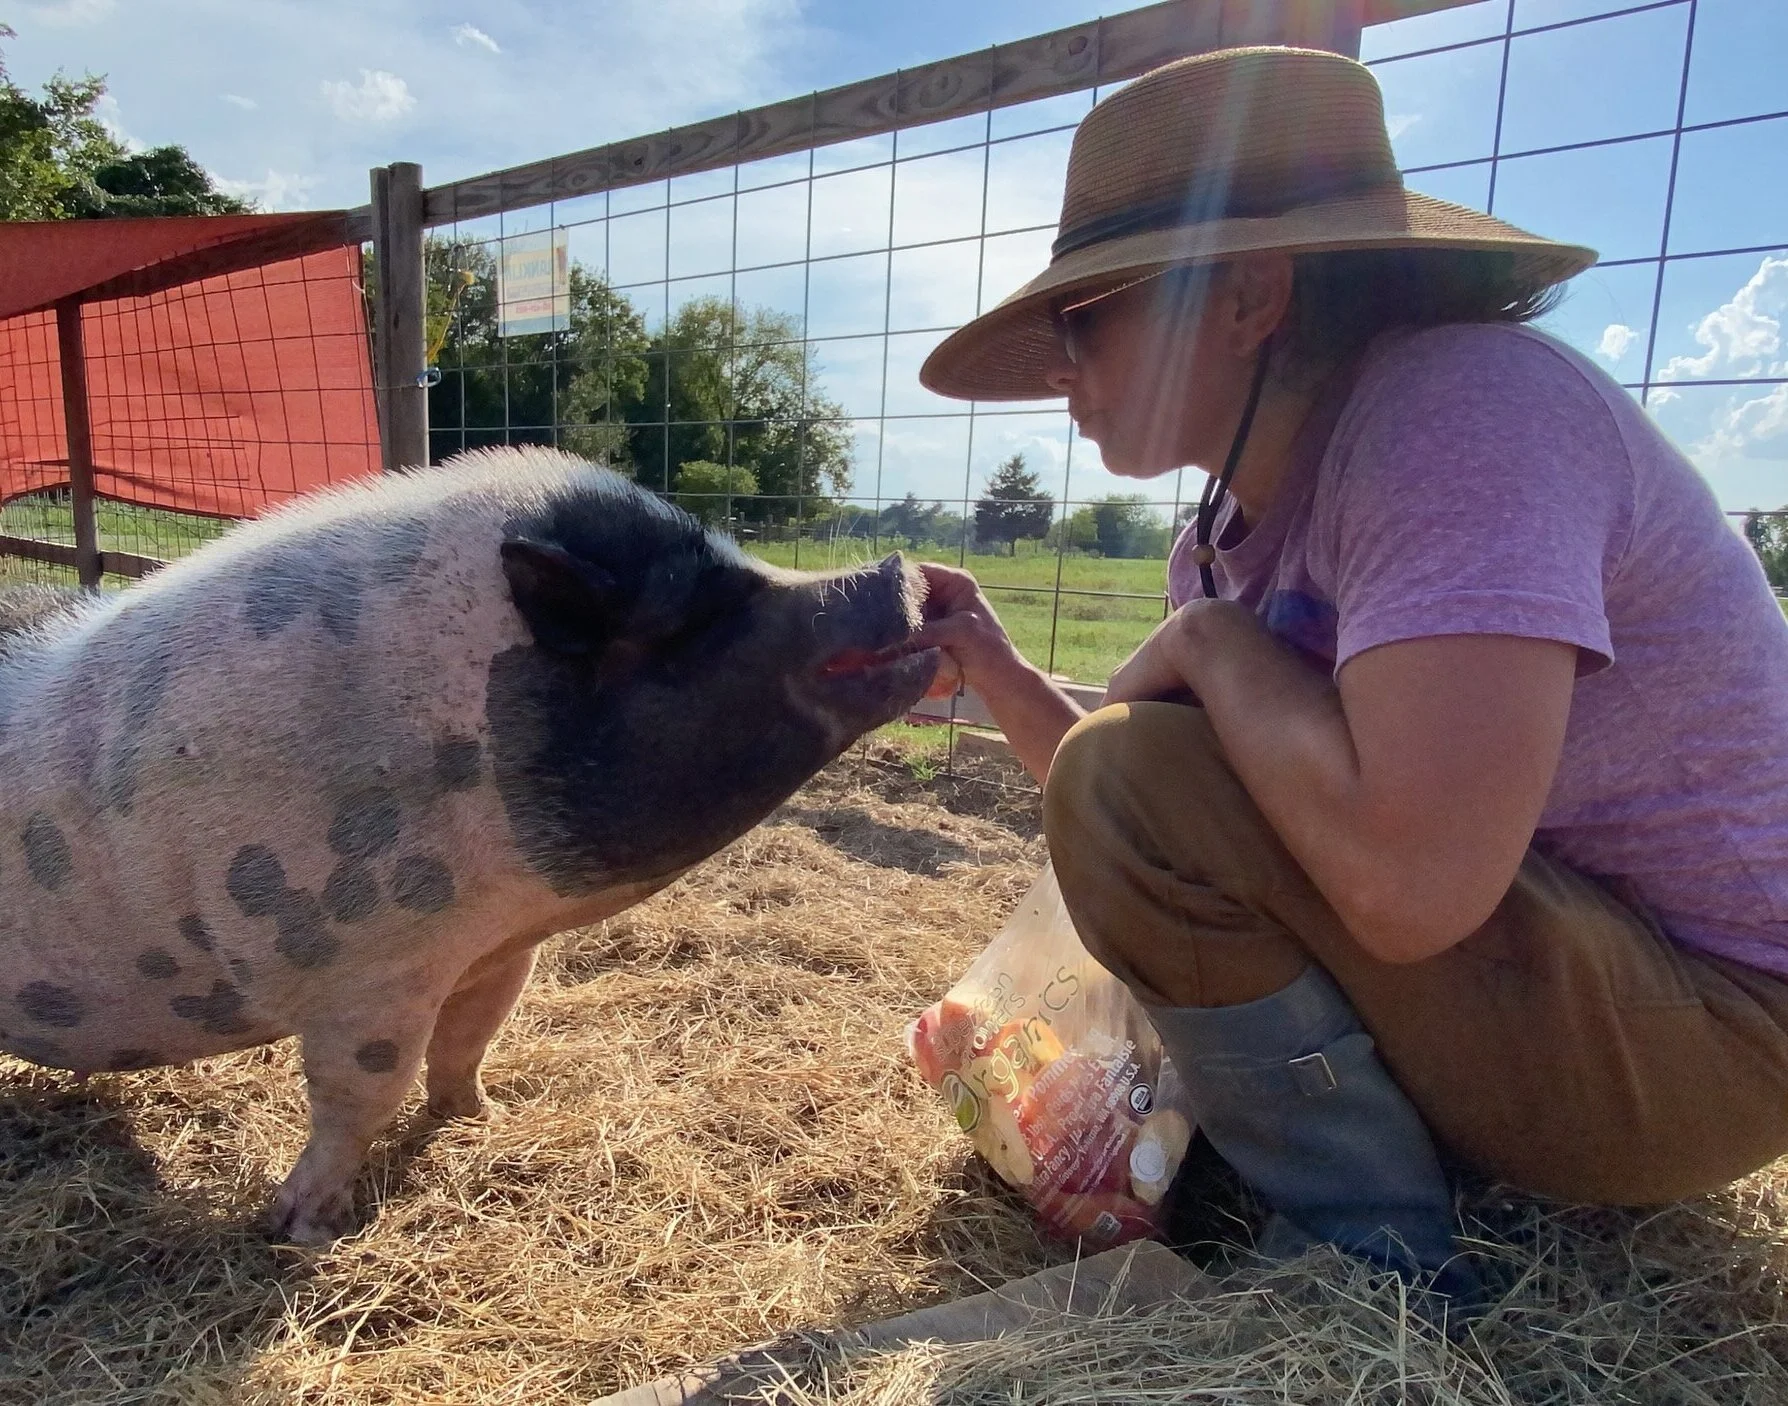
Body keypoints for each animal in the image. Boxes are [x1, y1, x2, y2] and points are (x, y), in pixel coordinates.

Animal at [0, 447, 937, 1243]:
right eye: (701, 608)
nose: (900, 568)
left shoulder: (499, 950)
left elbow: (472, 1038)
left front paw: (481, 1120)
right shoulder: (367, 973)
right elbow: (361, 1092)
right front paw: (303, 1231)